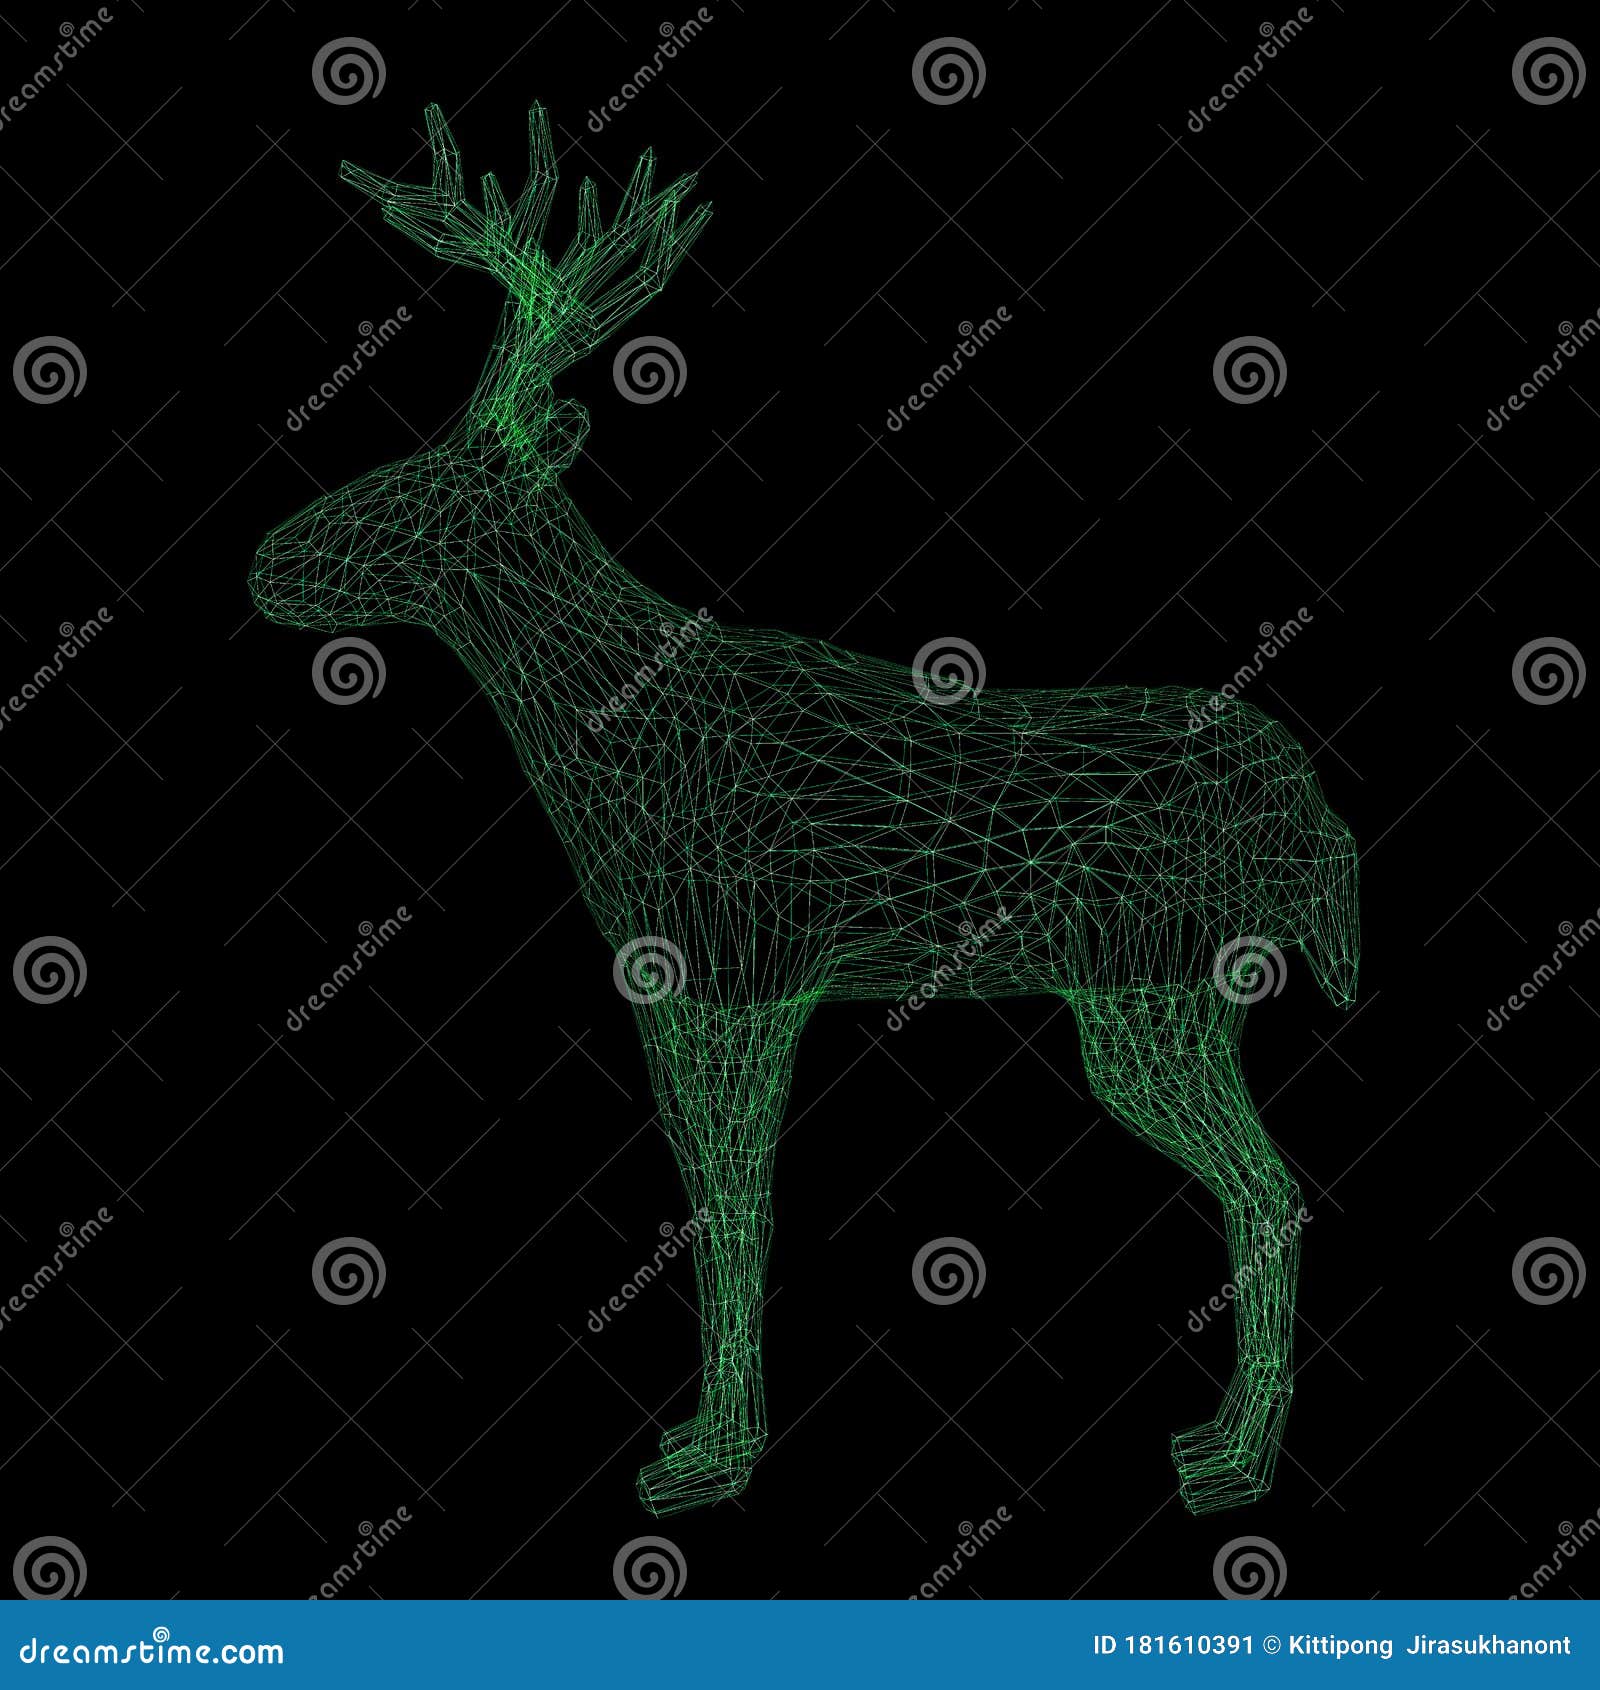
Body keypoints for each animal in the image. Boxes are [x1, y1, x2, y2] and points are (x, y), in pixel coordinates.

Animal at [251, 102, 1360, 1520]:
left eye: (435, 487)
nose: (267, 561)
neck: (617, 752)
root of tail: (1318, 835)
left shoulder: (747, 963)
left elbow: (739, 1201)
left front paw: (713, 1459)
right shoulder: (673, 980)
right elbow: (704, 1193)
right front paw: (701, 1433)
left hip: (1155, 980)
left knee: (1274, 1189)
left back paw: (1235, 1459)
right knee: (1266, 1187)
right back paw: (1223, 1437)